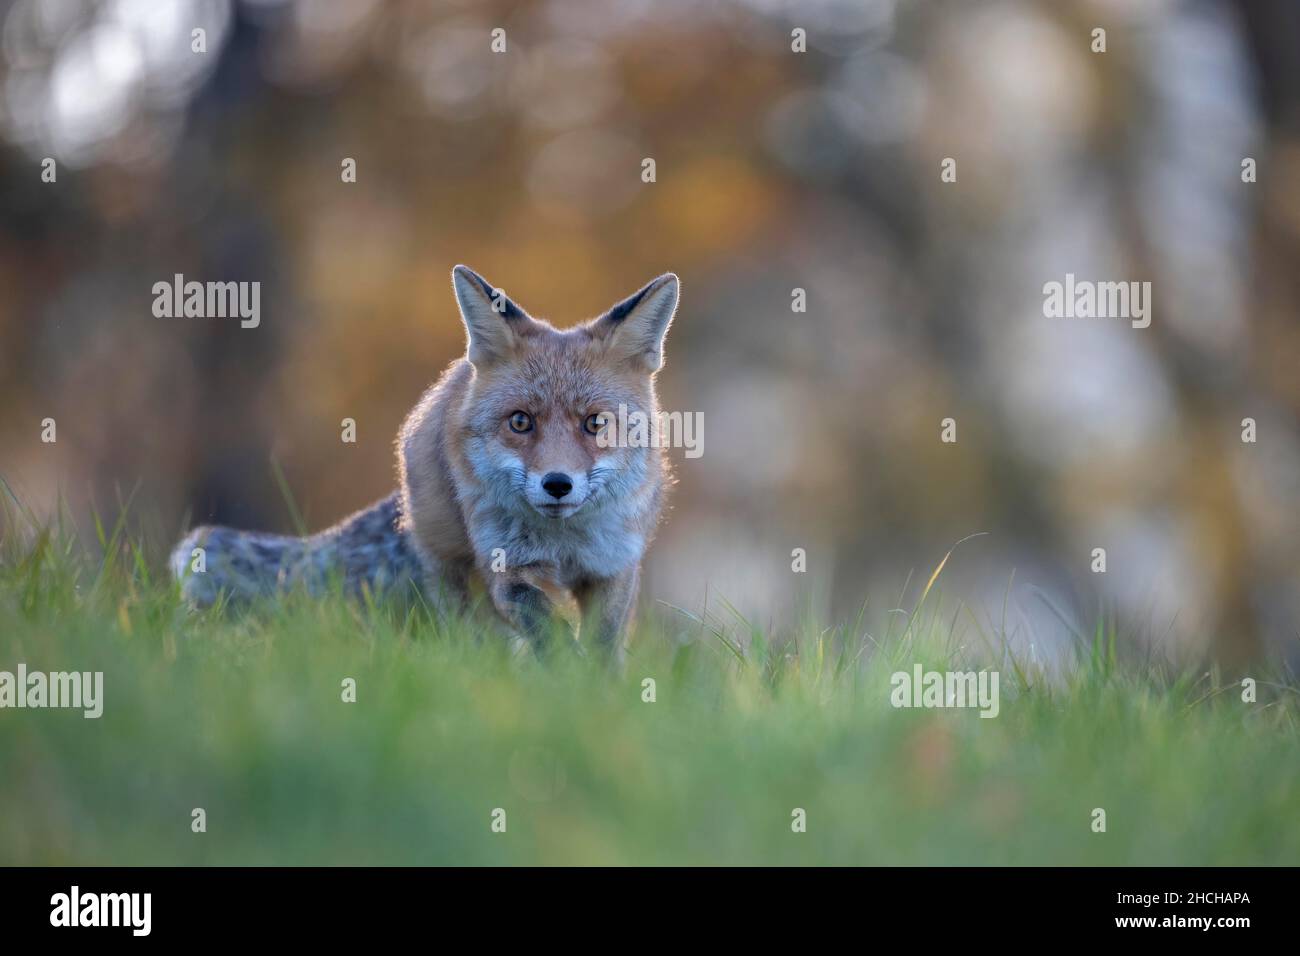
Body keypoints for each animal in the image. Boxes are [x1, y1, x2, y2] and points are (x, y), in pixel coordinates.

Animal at [170, 265, 681, 665]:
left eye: (595, 423)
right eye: (520, 421)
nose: (557, 484)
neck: (564, 544)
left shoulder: (613, 569)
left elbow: (602, 646)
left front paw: (598, 690)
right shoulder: (510, 570)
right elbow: (548, 631)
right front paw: (570, 681)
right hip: (453, 573)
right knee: (474, 636)